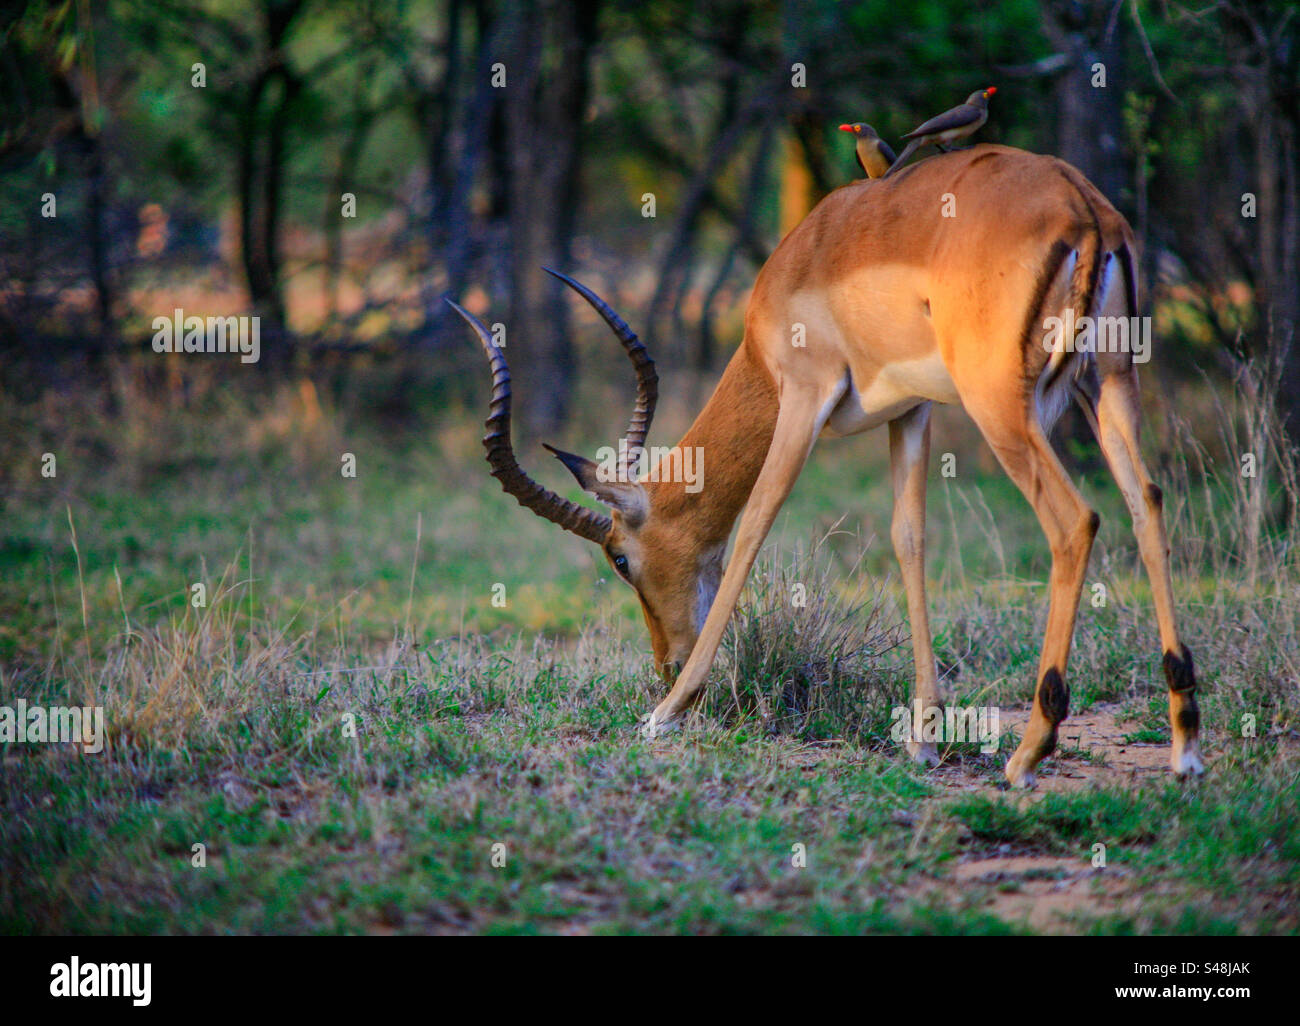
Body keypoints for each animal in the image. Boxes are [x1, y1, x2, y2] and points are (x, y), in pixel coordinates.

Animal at [449, 143, 1204, 788]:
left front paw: (666, 715)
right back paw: (1185, 742)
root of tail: (1084, 207)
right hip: (1109, 385)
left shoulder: (803, 398)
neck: (805, 261)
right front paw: (922, 737)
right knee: (1147, 500)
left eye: (620, 559)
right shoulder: (911, 412)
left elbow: (754, 526)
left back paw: (1029, 752)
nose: (667, 666)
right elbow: (908, 538)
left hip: (1003, 405)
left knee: (1076, 520)